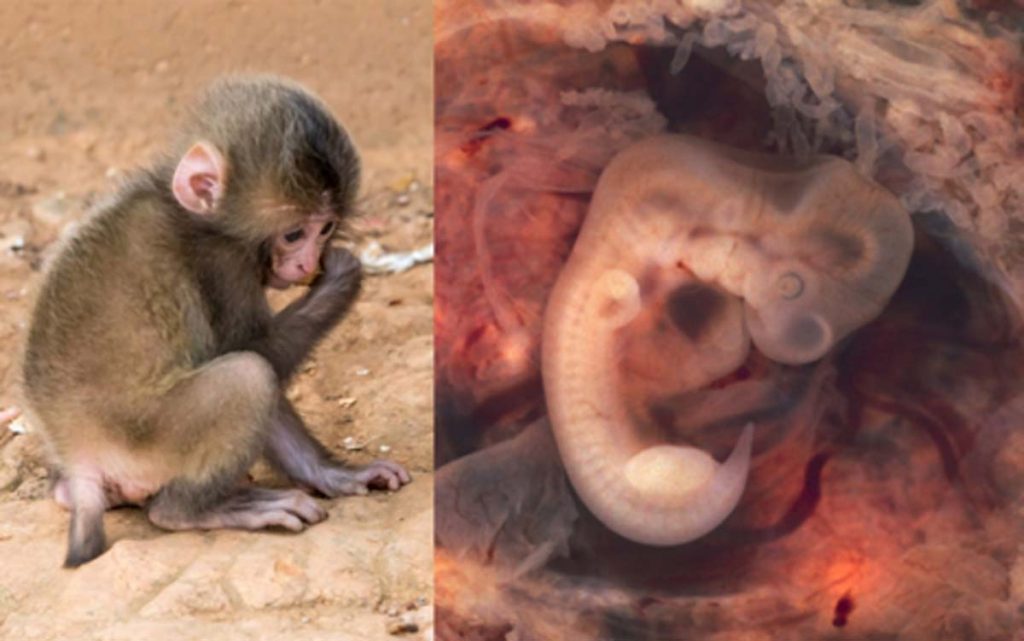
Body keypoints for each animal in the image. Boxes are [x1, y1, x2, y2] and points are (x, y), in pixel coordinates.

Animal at [20, 75, 412, 568]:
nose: (306, 264)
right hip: (146, 443)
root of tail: (79, 453)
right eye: (293, 234)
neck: (190, 214)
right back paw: (190, 511)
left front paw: (333, 474)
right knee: (248, 374)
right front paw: (342, 279)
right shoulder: (225, 262)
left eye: (324, 228)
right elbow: (257, 351)